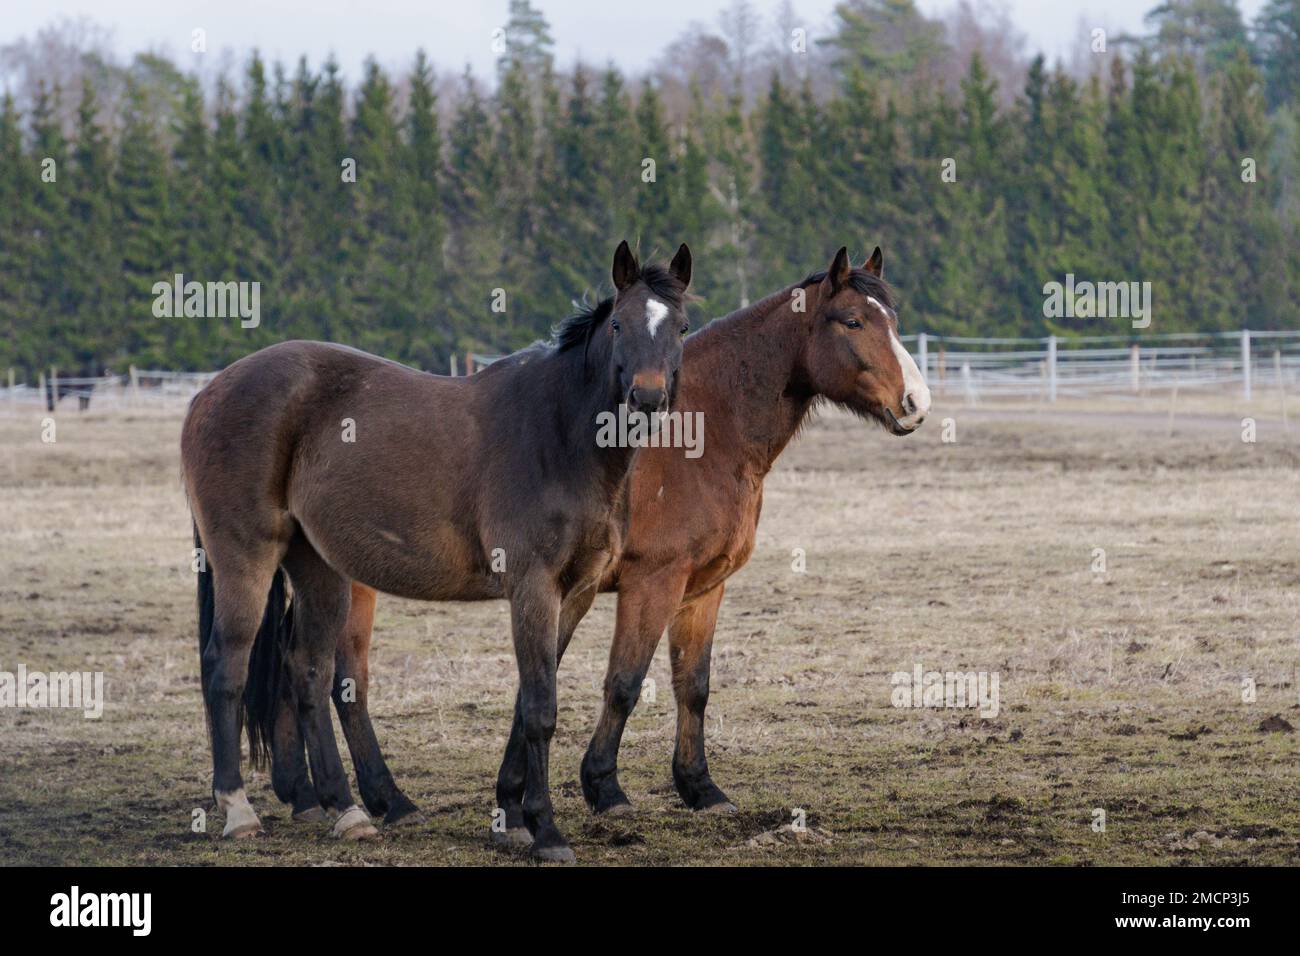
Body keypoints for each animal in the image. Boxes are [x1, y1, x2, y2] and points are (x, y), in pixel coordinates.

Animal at [183, 240, 693, 862]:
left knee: (307, 671)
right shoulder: (532, 587)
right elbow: (540, 710)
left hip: (318, 567)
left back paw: (347, 808)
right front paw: (546, 830)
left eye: (682, 326)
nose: (648, 399)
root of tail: (212, 389)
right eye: (619, 323)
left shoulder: (576, 593)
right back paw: (239, 809)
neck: (557, 434)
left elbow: (526, 701)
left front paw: (511, 816)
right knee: (225, 665)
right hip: (246, 557)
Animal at [253, 245, 931, 844]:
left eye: (893, 320)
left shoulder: (700, 589)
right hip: (350, 581)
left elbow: (691, 685)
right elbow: (623, 683)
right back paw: (376, 800)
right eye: (852, 320)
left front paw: (697, 788)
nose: (916, 403)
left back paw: (318, 797)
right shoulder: (650, 582)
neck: (702, 432)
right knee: (343, 683)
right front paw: (603, 789)